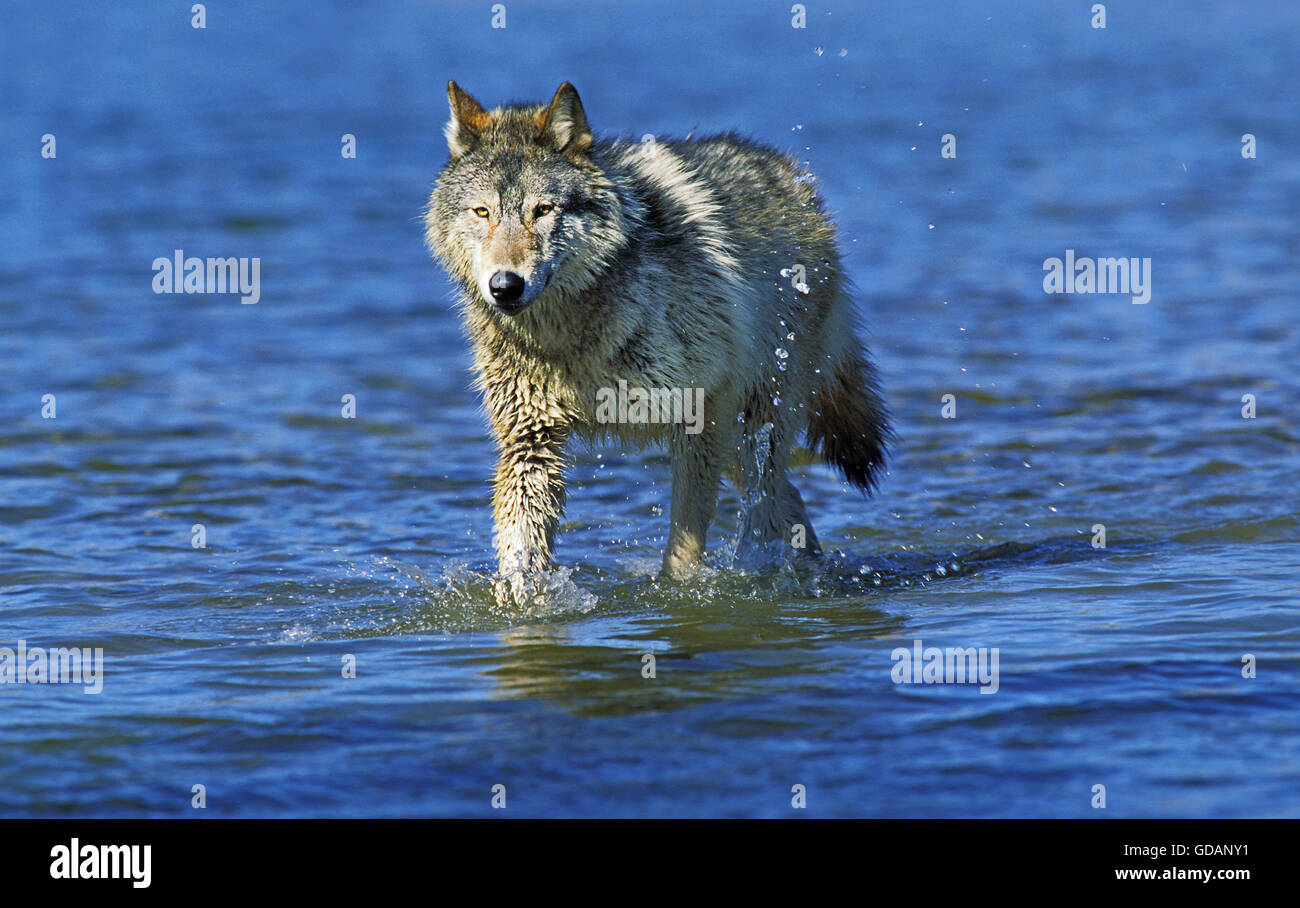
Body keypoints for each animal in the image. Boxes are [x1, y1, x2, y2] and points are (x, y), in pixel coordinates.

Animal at [424, 82, 890, 587]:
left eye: (543, 210)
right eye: (482, 212)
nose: (505, 286)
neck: (573, 336)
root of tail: (797, 183)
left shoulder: (702, 410)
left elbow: (684, 544)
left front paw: (679, 591)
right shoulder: (530, 439)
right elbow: (520, 544)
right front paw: (519, 595)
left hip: (753, 423)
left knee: (767, 502)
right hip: (737, 440)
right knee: (792, 500)